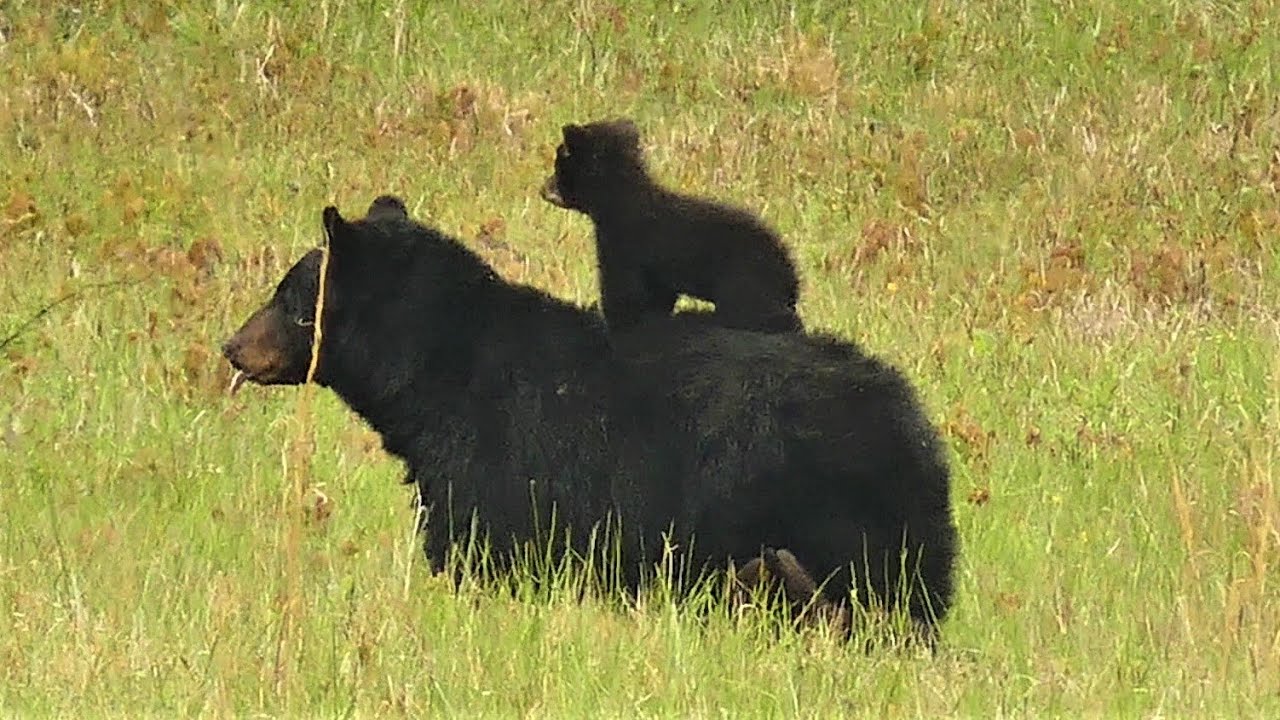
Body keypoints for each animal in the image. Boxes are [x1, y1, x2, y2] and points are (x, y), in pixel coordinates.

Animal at [222, 195, 958, 643]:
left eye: (288, 299)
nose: (231, 345)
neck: (437, 371)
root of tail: (909, 420)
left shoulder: (497, 462)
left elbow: (479, 551)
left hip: (825, 510)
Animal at [540, 118, 803, 334]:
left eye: (559, 164)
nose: (543, 189)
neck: (622, 202)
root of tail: (792, 277)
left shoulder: (624, 247)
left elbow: (624, 295)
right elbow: (657, 298)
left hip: (744, 281)